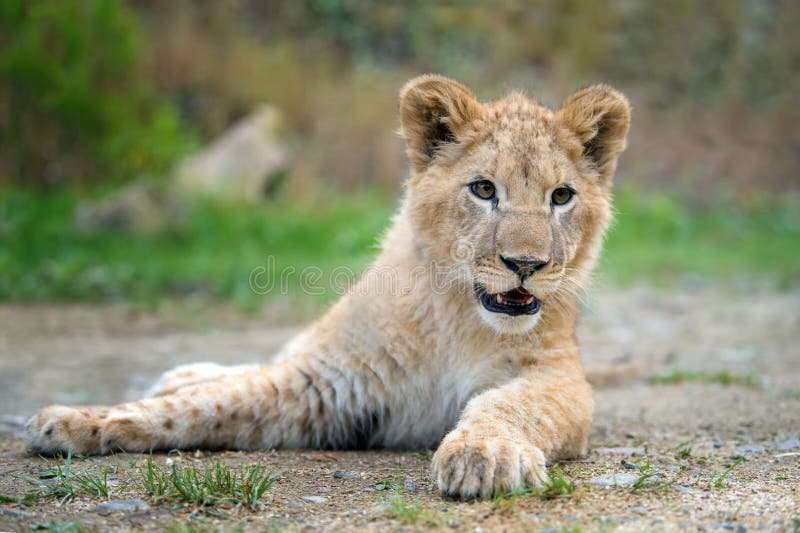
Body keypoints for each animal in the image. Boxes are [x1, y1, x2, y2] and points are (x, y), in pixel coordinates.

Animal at [26, 75, 631, 499]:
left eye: (561, 196)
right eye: (483, 189)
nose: (525, 264)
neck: (460, 315)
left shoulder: (560, 380)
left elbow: (509, 404)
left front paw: (484, 453)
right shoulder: (332, 381)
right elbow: (205, 404)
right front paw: (76, 421)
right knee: (270, 358)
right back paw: (182, 374)